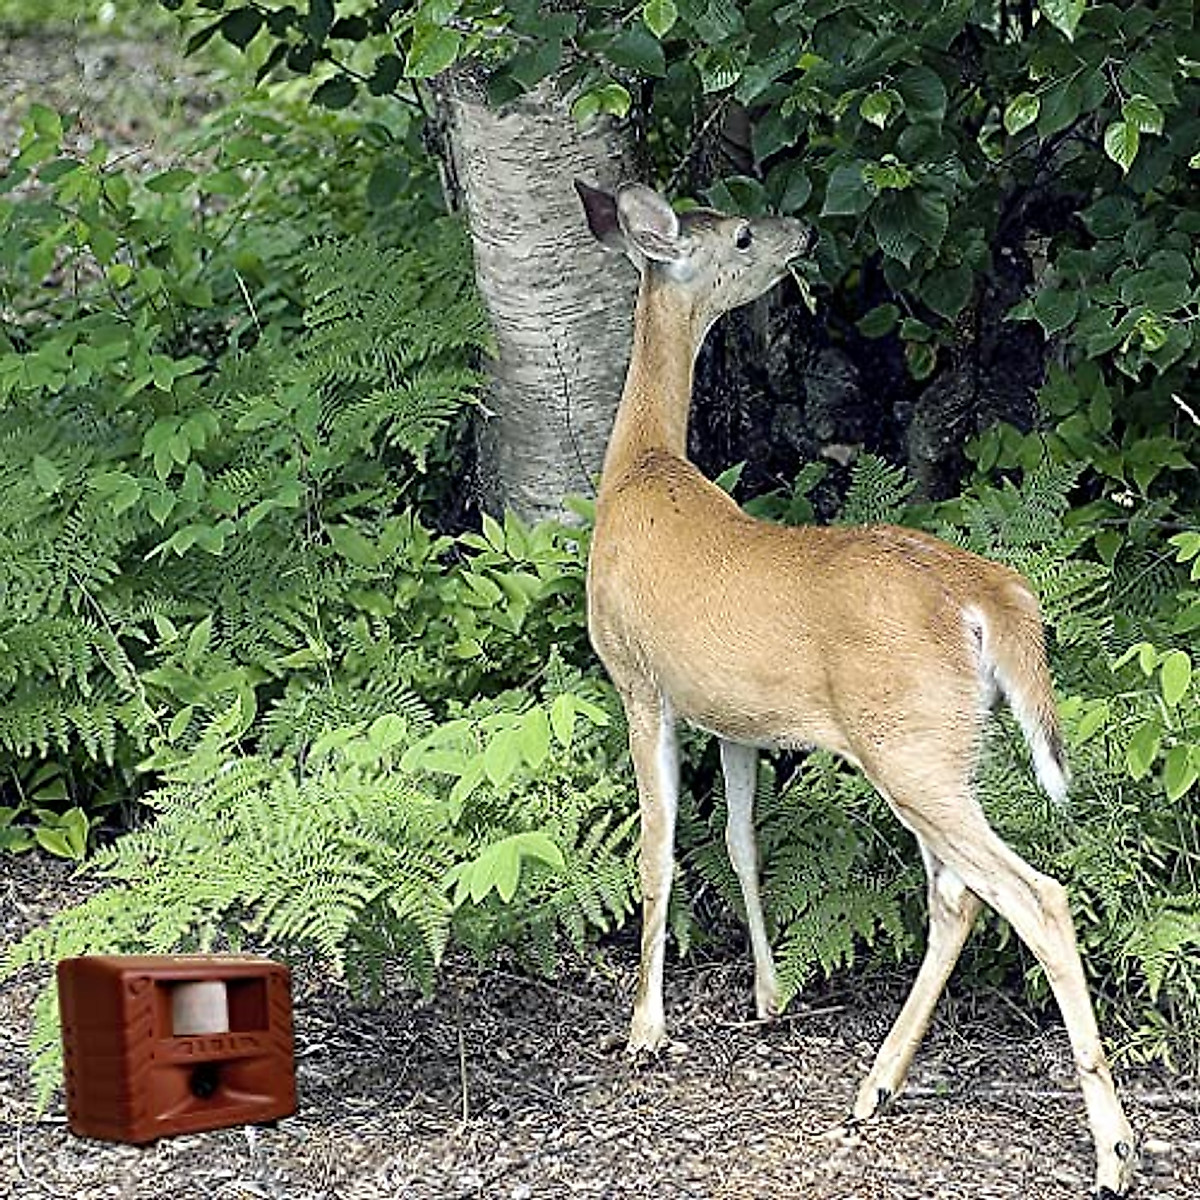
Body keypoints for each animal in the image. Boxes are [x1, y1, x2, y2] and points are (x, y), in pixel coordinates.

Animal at [574, 179, 1136, 1198]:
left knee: (1032, 896)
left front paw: (644, 1032)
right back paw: (877, 1085)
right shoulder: (737, 721)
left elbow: (658, 854)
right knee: (957, 898)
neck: (640, 466)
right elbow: (742, 843)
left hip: (906, 745)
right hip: (938, 746)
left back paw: (1112, 1149)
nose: (799, 230)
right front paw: (767, 995)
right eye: (741, 233)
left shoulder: (640, 682)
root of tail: (987, 593)